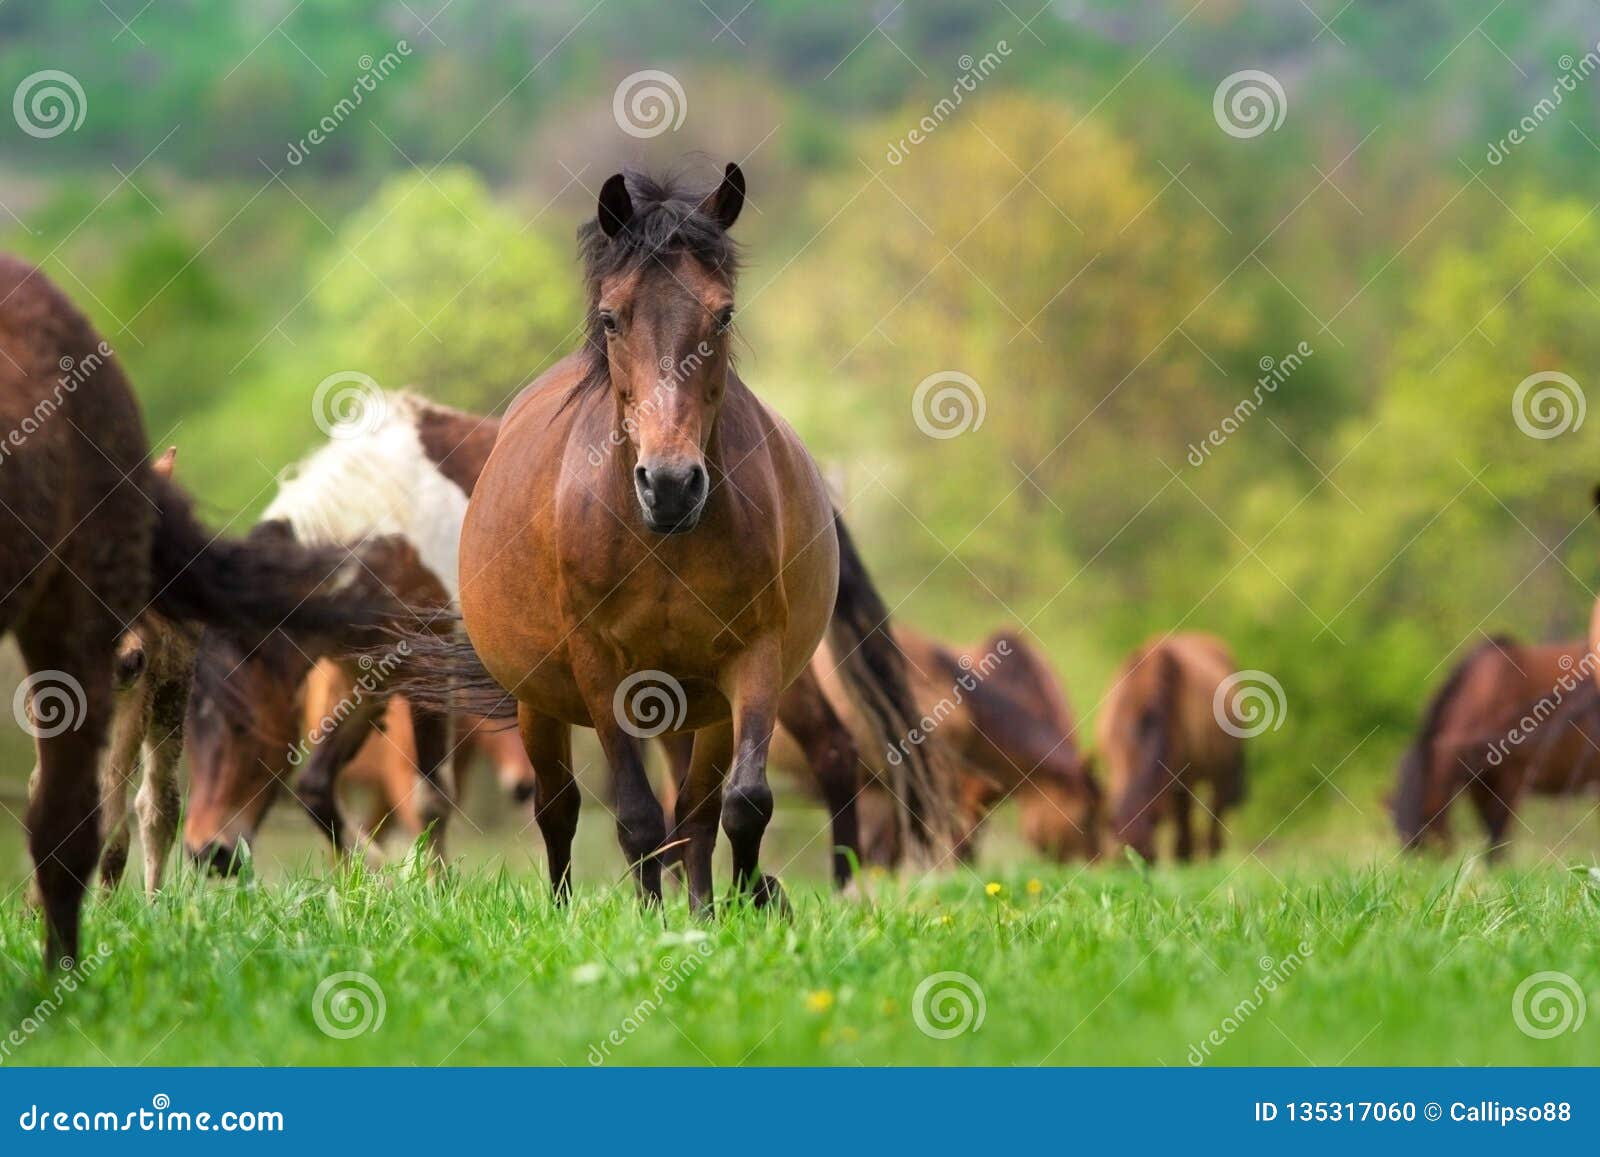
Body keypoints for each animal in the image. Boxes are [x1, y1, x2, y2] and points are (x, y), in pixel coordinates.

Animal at [0, 255, 394, 968]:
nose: (125, 655)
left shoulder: (140, 689)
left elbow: (127, 802)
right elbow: (58, 784)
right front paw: (36, 910)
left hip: (166, 698)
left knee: (154, 801)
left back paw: (145, 901)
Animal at [184, 391, 498, 872]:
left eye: (243, 726)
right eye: (186, 733)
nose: (207, 852)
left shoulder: (433, 672)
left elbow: (432, 796)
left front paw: (433, 883)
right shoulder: (364, 677)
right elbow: (315, 788)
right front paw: (379, 873)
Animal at [408, 164, 958, 912]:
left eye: (722, 314)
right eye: (612, 317)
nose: (670, 485)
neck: (661, 542)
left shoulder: (750, 661)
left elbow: (739, 804)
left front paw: (749, 899)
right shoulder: (600, 670)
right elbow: (635, 814)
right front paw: (650, 917)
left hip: (693, 709)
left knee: (696, 807)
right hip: (541, 702)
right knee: (559, 807)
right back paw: (568, 906)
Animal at [1096, 632, 1246, 862]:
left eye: (1149, 858)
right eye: (1121, 859)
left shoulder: (1185, 777)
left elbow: (1184, 822)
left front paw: (1184, 858)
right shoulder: (1115, 766)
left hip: (1222, 773)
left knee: (1215, 816)